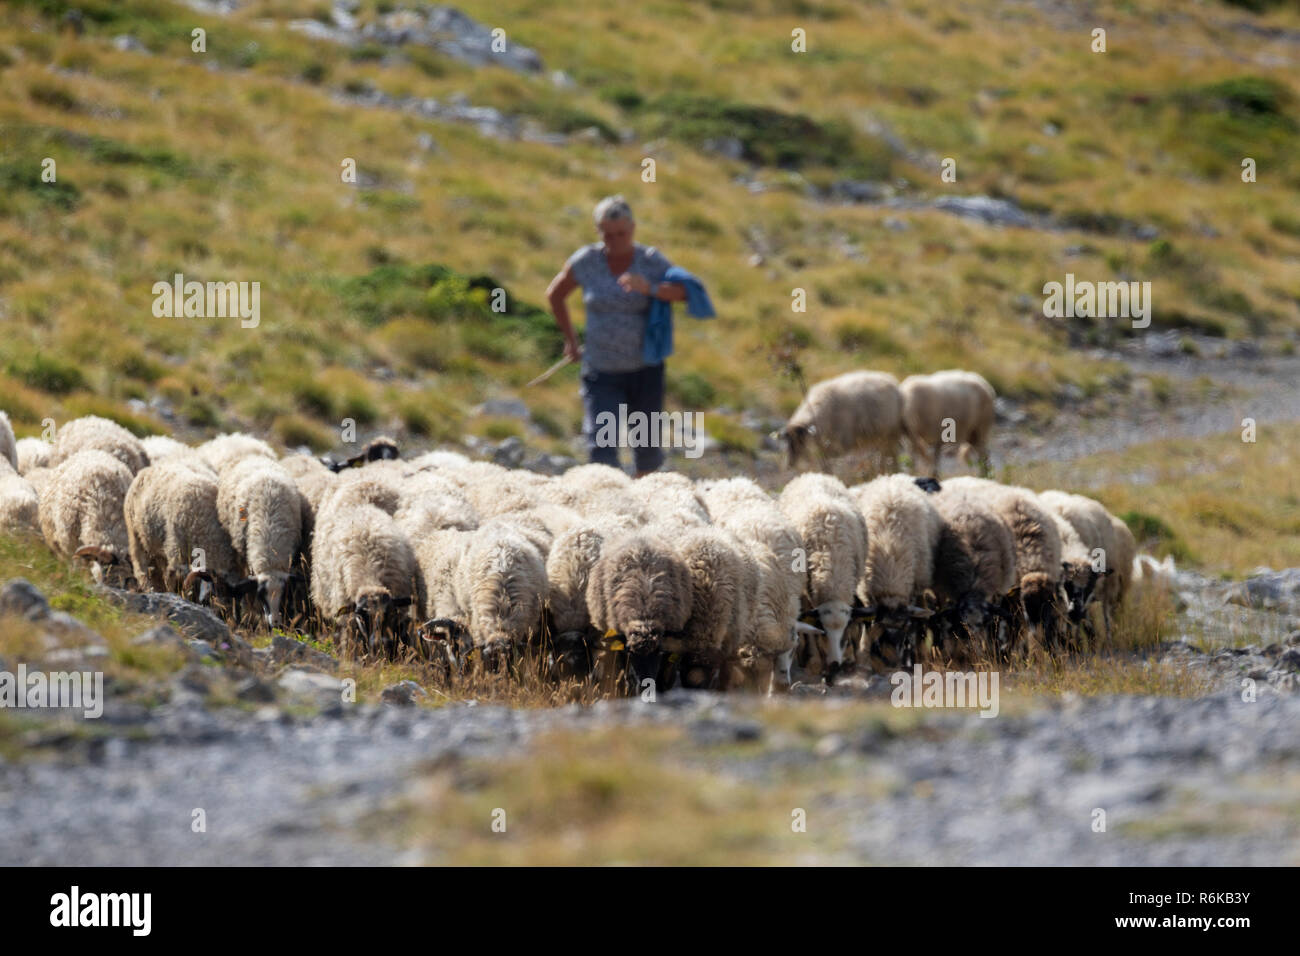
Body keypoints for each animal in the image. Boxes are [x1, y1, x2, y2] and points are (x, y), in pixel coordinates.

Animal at [124, 460, 242, 605]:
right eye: (212, 596)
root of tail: (147, 469)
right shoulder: (177, 553)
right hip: (136, 537)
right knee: (142, 569)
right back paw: (149, 588)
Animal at [777, 473, 869, 673]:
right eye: (823, 631)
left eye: (844, 632)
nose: (835, 664)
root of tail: (812, 474)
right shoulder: (806, 595)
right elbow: (808, 626)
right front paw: (814, 661)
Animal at [849, 474, 945, 669]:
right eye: (881, 629)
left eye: (904, 628)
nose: (893, 662)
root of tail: (890, 478)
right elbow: (866, 629)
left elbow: (915, 628)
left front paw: (910, 659)